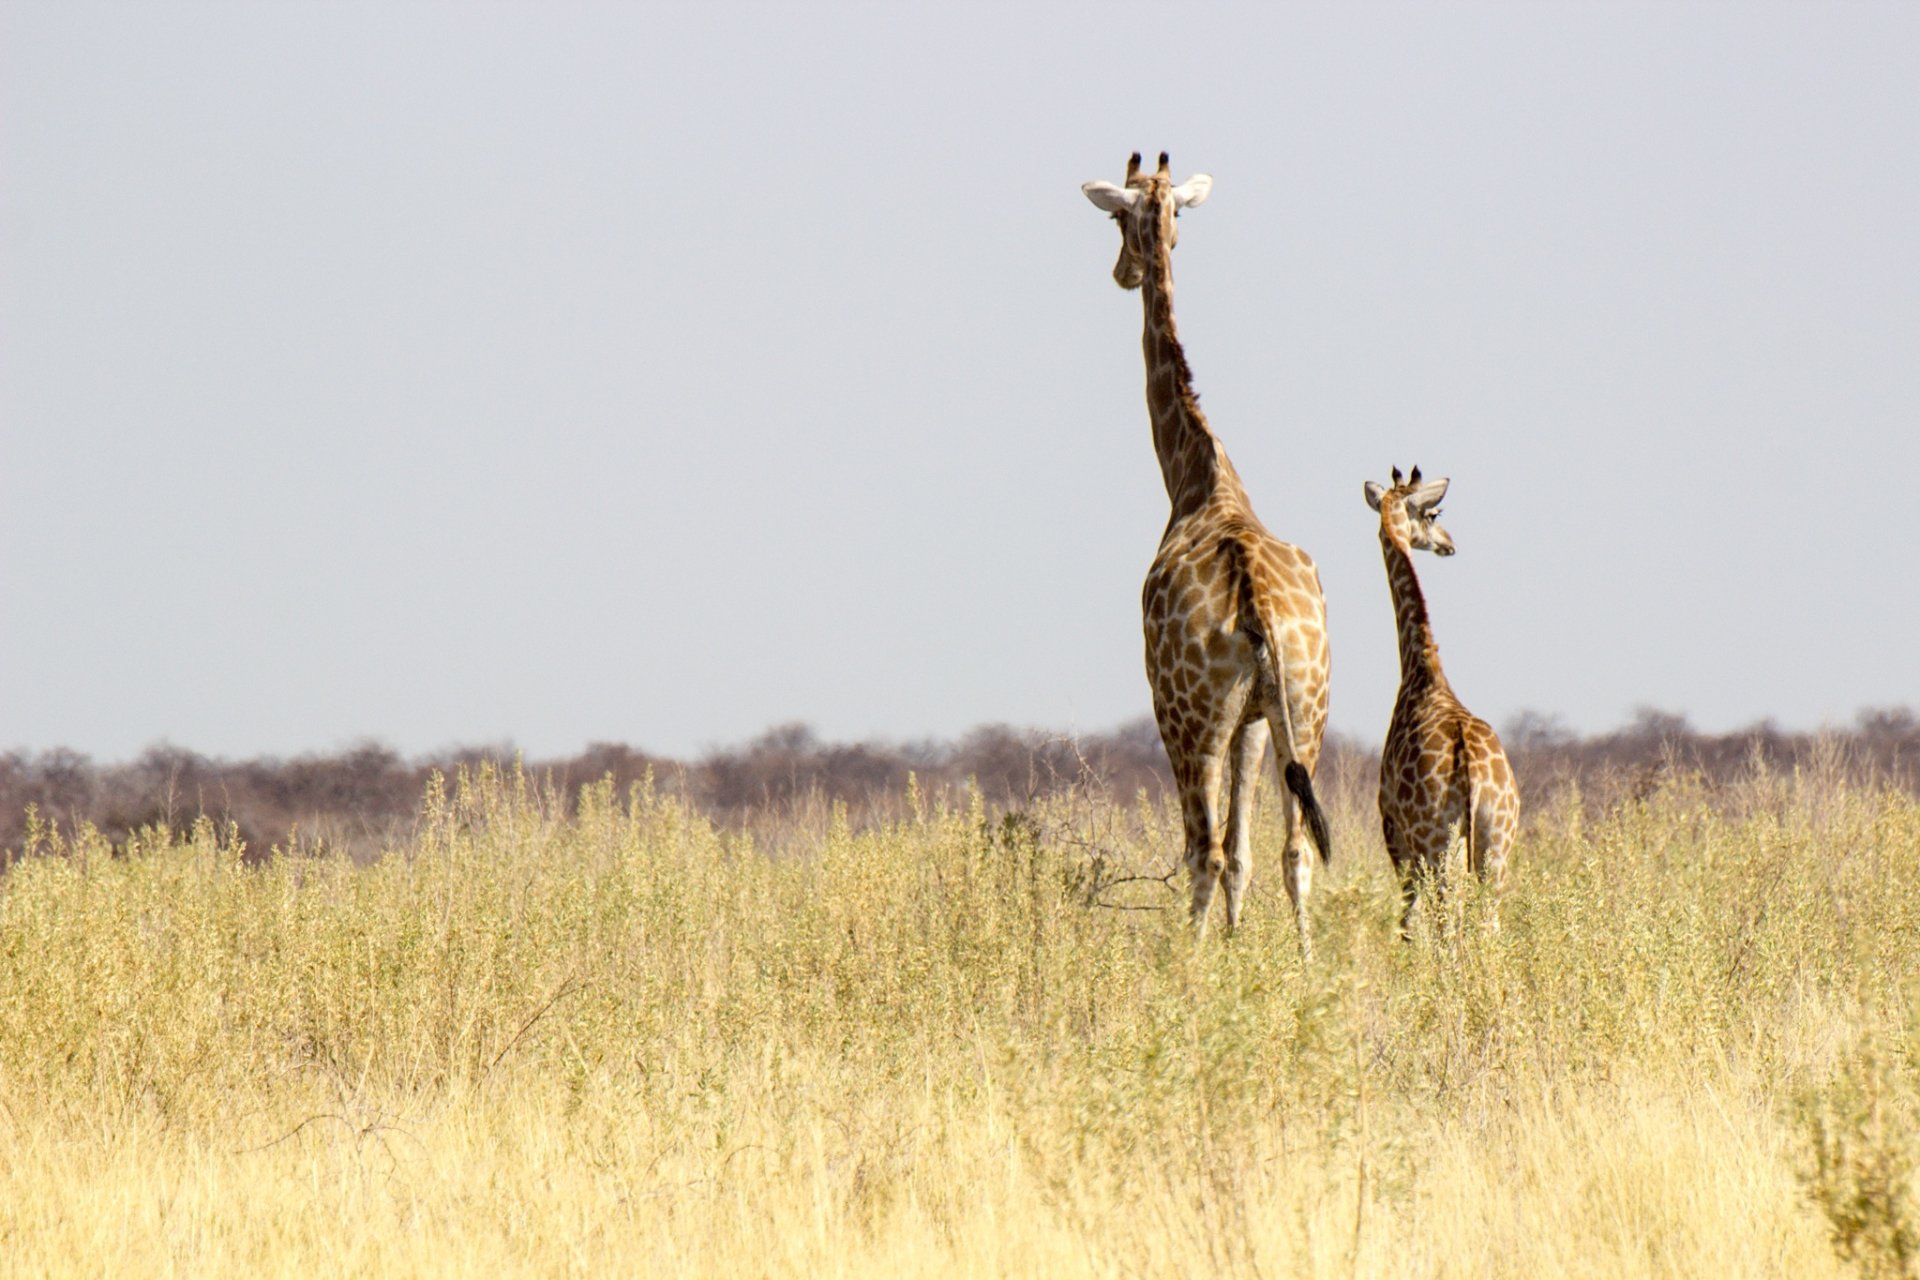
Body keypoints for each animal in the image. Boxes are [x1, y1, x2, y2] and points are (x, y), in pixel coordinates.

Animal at [1082, 152, 1332, 953]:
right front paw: (1238, 947)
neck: (1198, 476)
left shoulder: (1176, 705)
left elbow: (1219, 849)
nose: (1121, 271)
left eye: (1115, 215)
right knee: (1295, 848)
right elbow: (1252, 854)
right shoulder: (1255, 714)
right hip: (1304, 706)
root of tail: (1252, 598)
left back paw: (1184, 969)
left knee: (1204, 847)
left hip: (1191, 715)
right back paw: (1309, 964)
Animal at [1365, 465, 1520, 937]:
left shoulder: (1393, 829)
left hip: (1435, 842)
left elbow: (1408, 922)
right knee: (1487, 922)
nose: (1448, 544)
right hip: (1495, 844)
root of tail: (1472, 770)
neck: (1423, 671)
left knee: (1446, 919)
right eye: (1433, 515)